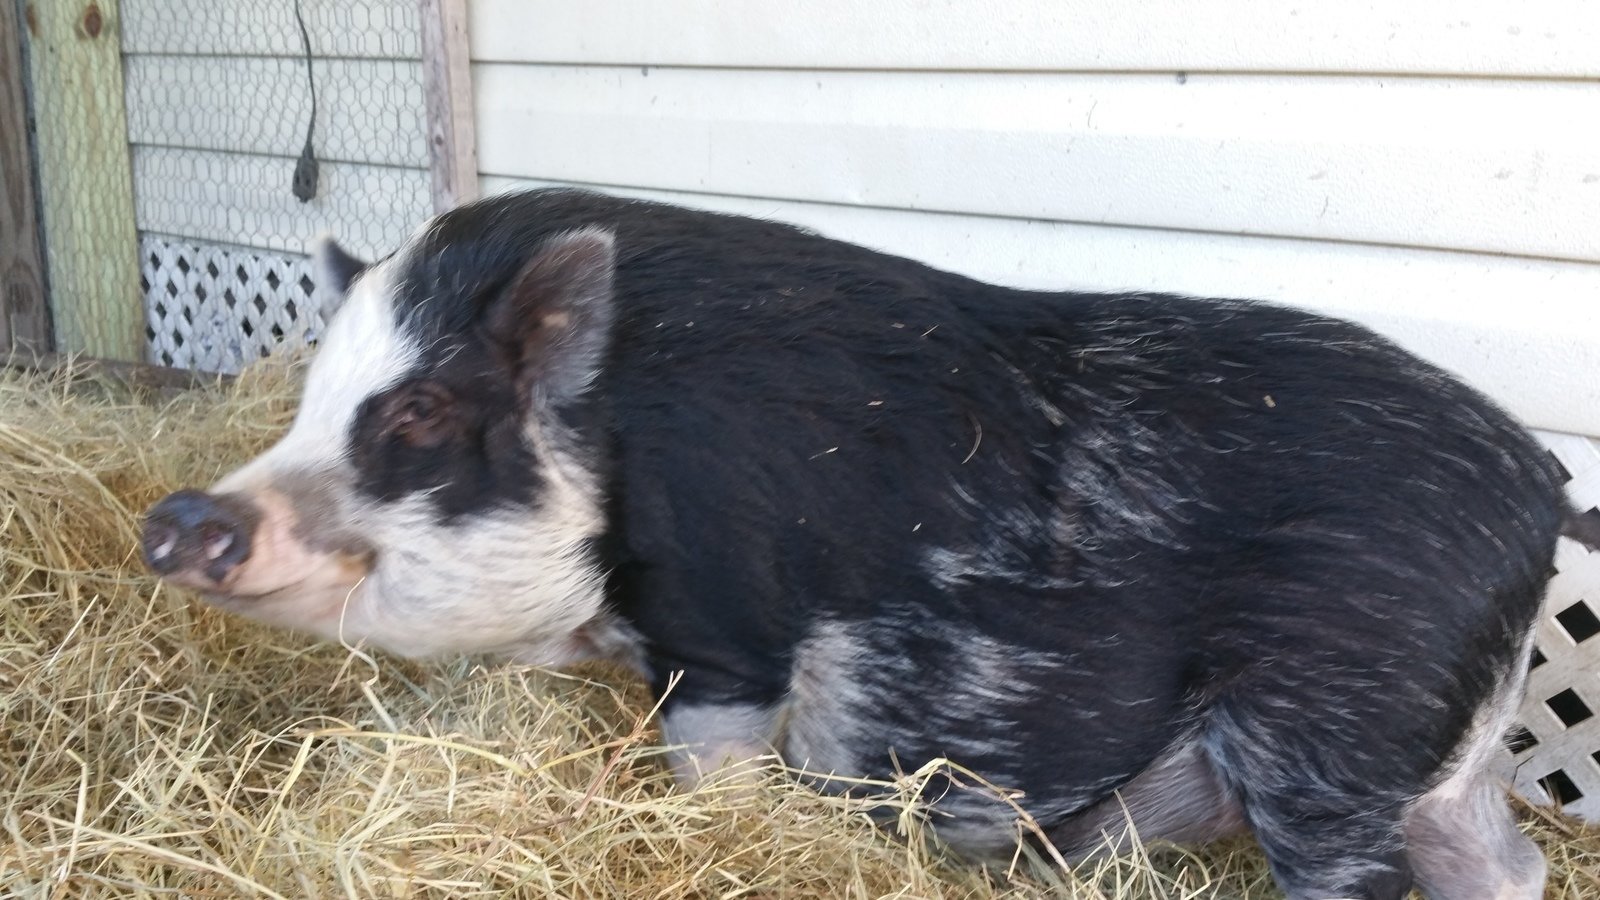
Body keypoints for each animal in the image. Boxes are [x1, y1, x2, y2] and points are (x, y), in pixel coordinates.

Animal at [143, 188, 1590, 900]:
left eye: (421, 415)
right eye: (311, 398)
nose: (177, 518)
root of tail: (1535, 486)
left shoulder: (726, 635)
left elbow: (714, 766)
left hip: (1332, 734)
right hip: (1441, 761)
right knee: (1508, 871)